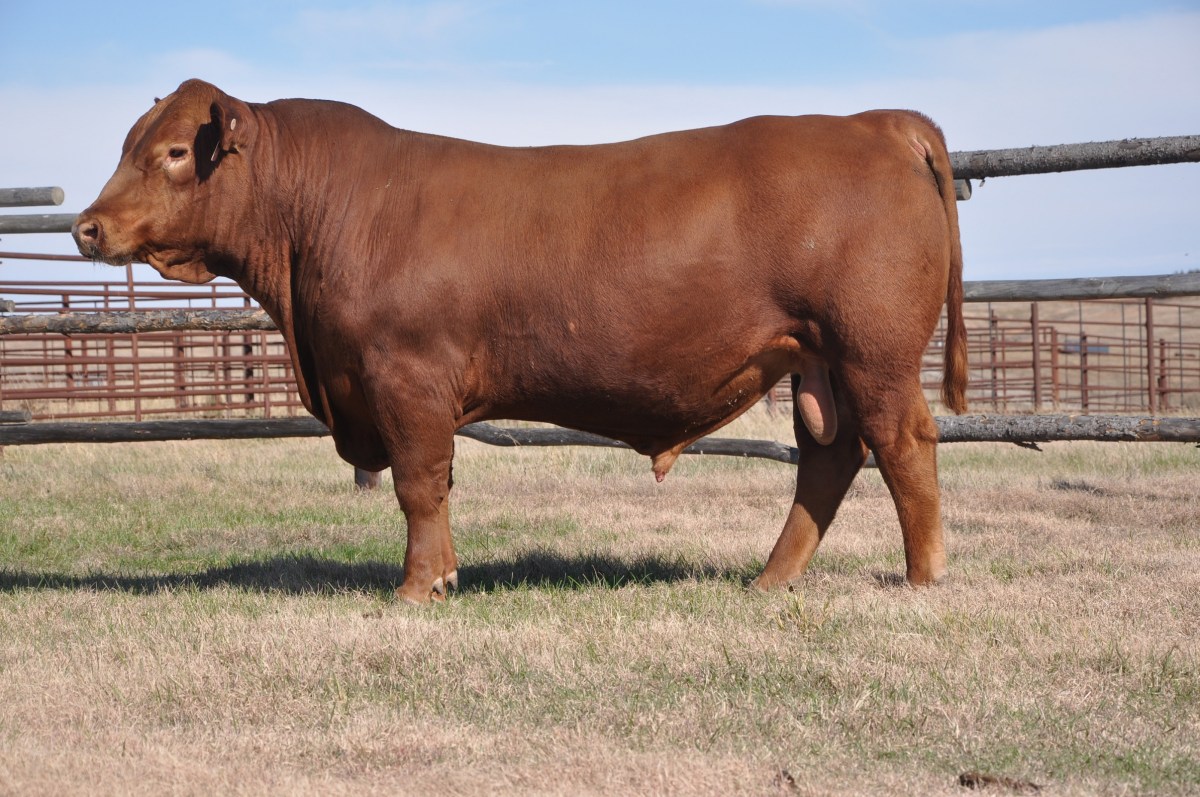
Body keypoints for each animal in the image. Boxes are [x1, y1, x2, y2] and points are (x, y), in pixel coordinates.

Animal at [74, 79, 967, 604]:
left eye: (175, 152)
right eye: (127, 143)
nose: (87, 227)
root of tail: (875, 122)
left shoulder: (405, 377)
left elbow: (418, 484)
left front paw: (418, 588)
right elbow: (431, 485)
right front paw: (436, 576)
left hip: (873, 351)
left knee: (903, 443)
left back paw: (925, 576)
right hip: (819, 362)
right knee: (830, 456)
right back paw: (770, 580)